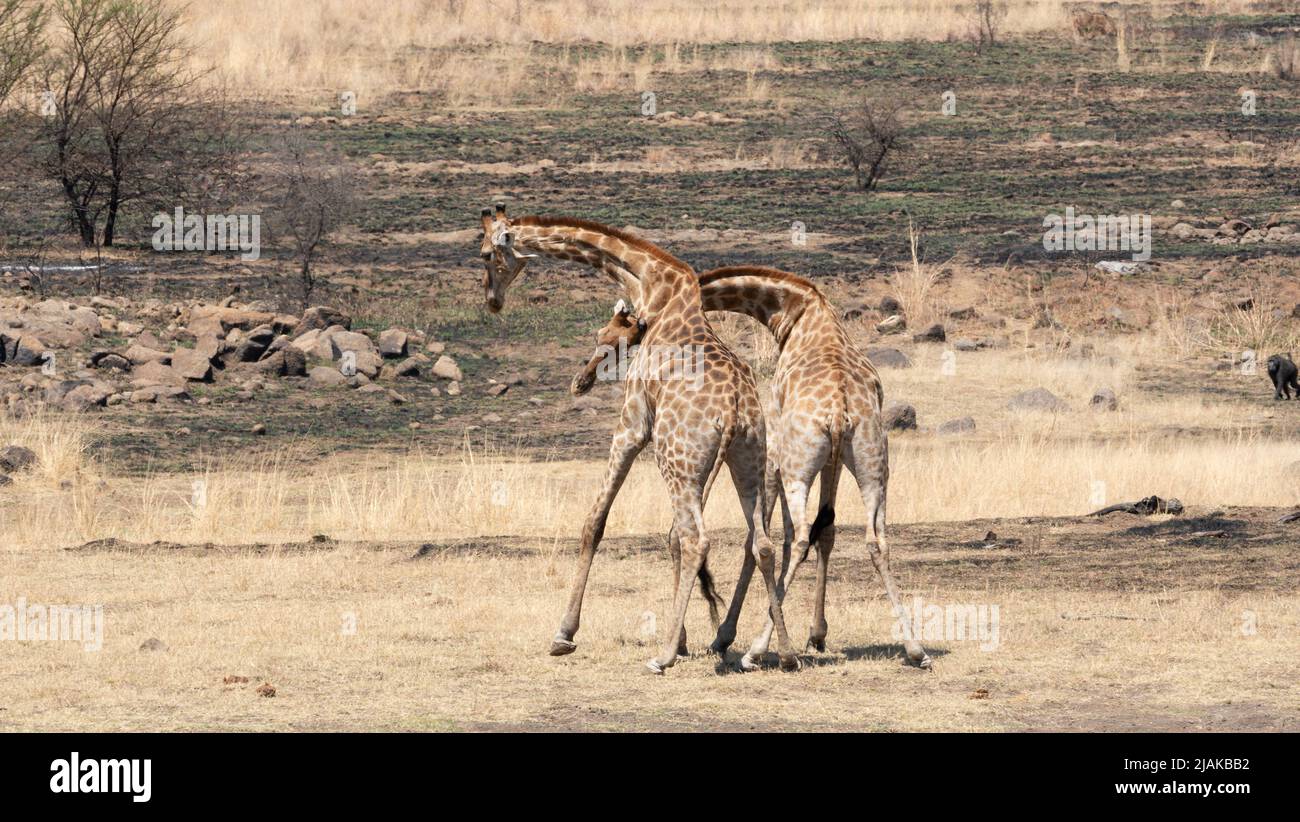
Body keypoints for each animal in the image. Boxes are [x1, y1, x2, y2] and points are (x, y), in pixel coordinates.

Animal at [478, 206, 800, 673]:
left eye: (487, 254)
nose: (492, 300)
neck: (650, 281)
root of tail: (734, 411)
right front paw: (683, 640)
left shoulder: (633, 421)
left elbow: (595, 521)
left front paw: (564, 634)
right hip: (748, 460)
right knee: (760, 542)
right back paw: (784, 653)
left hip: (677, 459)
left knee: (695, 539)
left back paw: (662, 657)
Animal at [694, 265, 932, 671]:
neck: (794, 311)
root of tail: (838, 411)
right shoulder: (832, 463)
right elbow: (829, 530)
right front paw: (818, 633)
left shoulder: (774, 455)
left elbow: (762, 539)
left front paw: (724, 637)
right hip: (872, 465)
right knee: (876, 539)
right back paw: (915, 649)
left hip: (797, 468)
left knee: (802, 536)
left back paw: (759, 650)